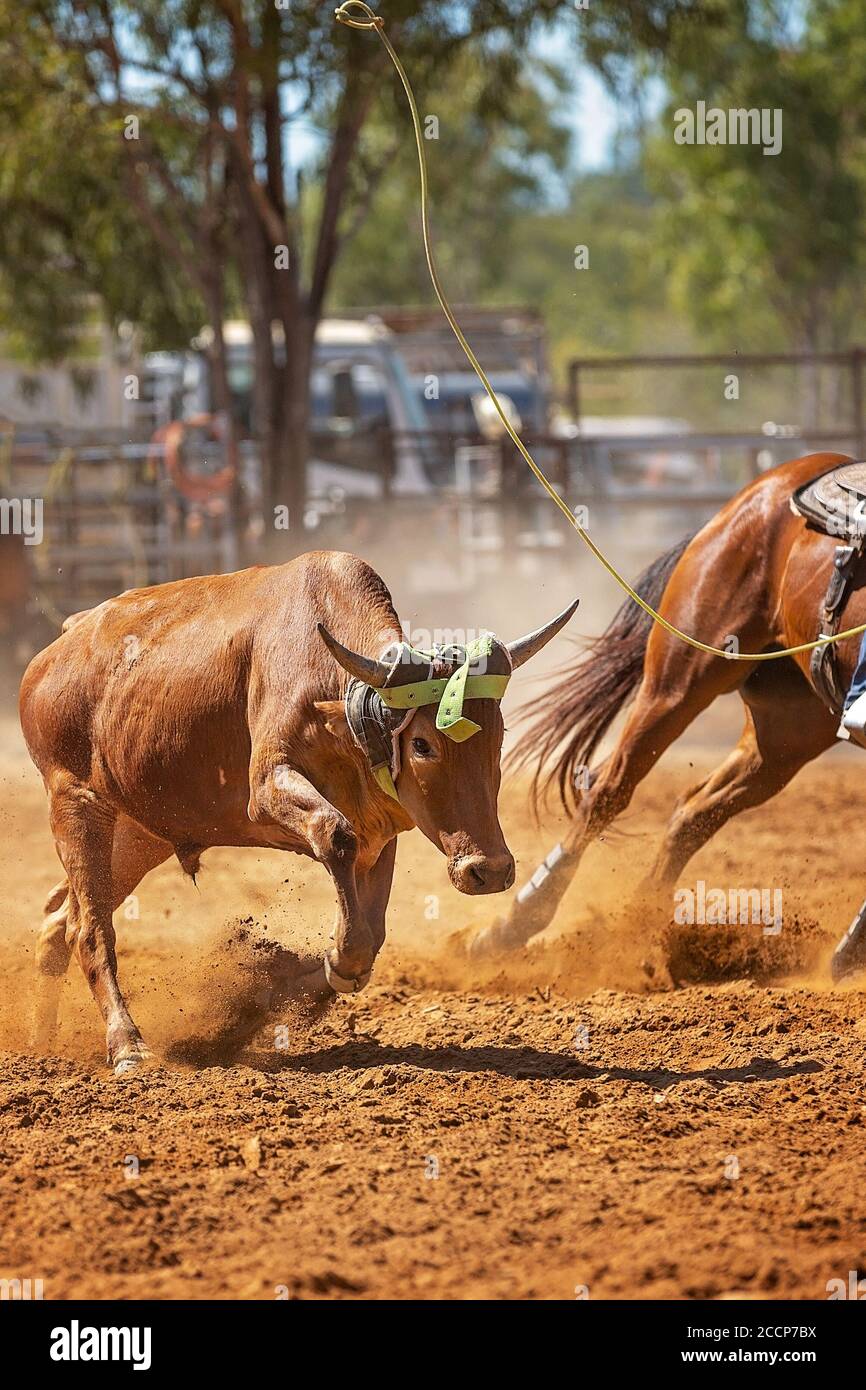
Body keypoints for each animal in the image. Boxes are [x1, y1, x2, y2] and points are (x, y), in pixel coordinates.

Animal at [20, 551, 577, 1074]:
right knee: (90, 930)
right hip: (77, 805)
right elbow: (334, 837)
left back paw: (42, 1039)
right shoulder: (270, 787)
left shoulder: (382, 831)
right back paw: (126, 1044)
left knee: (59, 919)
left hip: (140, 833)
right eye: (422, 744)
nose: (490, 870)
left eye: (499, 736)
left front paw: (275, 989)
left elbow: (366, 941)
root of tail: (60, 646)